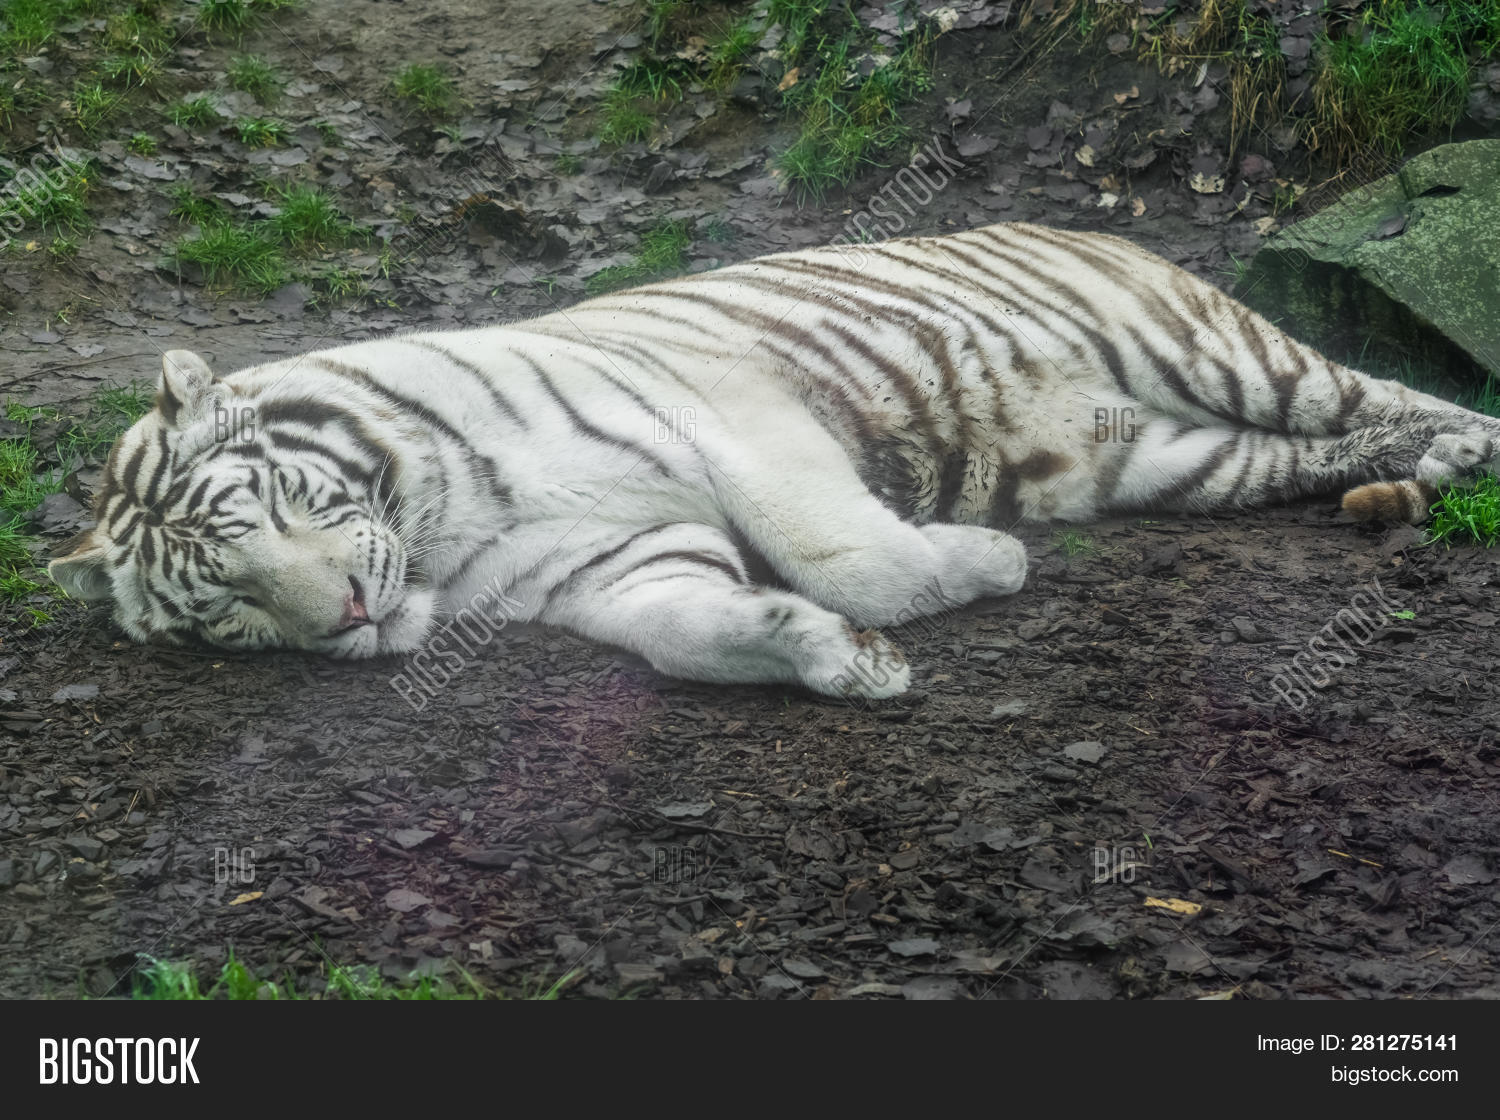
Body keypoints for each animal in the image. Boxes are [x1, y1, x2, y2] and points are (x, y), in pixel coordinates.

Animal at [49, 222, 1500, 698]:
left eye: (280, 505)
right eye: (228, 610)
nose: (348, 614)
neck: (442, 528)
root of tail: (1090, 219)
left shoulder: (739, 416)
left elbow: (841, 548)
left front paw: (980, 561)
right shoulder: (613, 561)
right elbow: (691, 622)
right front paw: (826, 659)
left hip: (1212, 353)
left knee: (1371, 385)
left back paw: (1469, 443)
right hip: (1156, 455)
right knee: (1308, 450)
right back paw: (1408, 477)